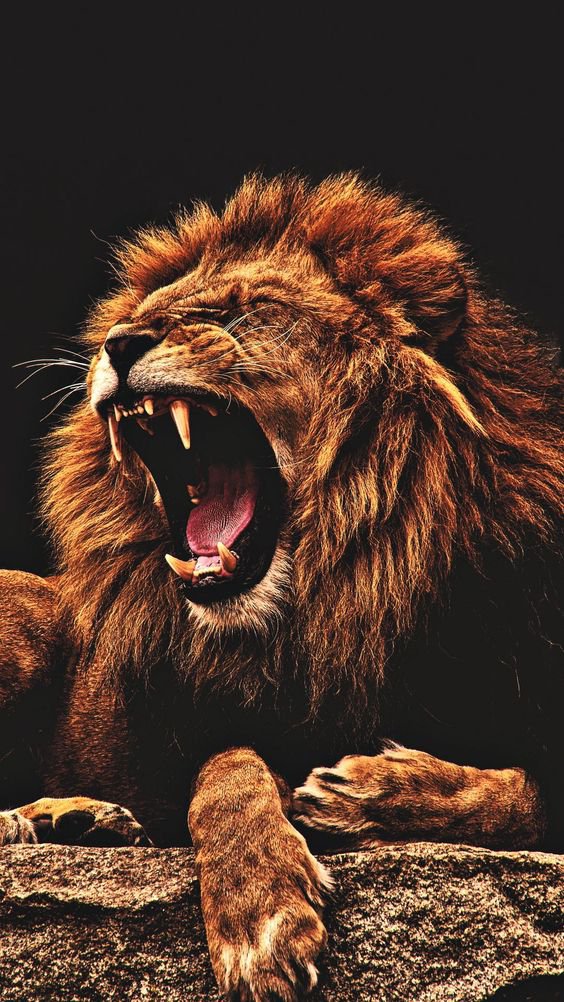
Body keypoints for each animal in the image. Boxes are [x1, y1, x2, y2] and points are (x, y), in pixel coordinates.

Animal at [1, 173, 563, 1001]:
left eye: (243, 310)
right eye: (137, 318)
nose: (118, 343)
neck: (339, 598)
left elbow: (521, 796)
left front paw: (373, 793)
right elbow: (230, 765)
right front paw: (261, 918)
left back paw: (83, 822)